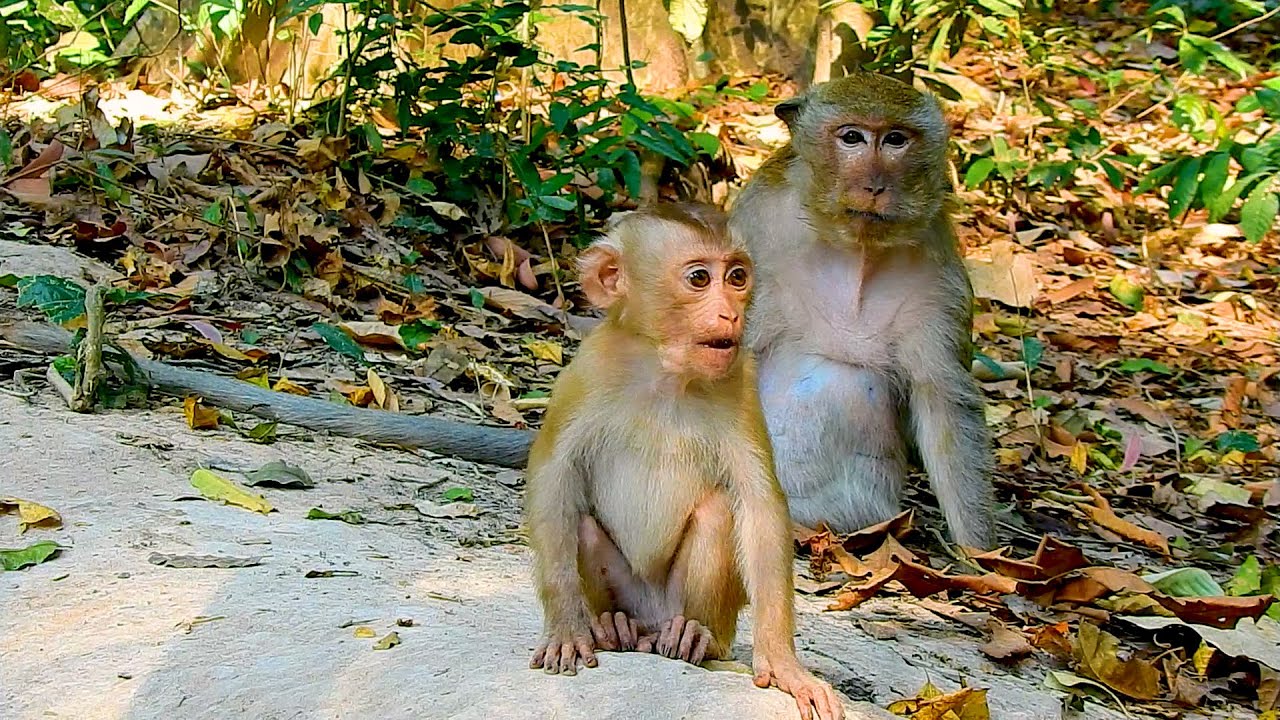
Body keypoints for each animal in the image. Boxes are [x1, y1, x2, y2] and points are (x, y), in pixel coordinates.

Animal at [524, 204, 843, 720]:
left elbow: (760, 507)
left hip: (687, 607)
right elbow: (553, 478)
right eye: (698, 278)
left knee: (718, 514)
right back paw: (615, 628)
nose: (731, 312)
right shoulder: (585, 373)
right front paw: (568, 627)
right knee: (583, 528)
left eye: (737, 277)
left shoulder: (741, 384)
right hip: (630, 593)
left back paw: (694, 638)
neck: (666, 372)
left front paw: (782, 662)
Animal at [726, 72, 996, 550]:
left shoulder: (938, 271)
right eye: (852, 138)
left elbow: (942, 397)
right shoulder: (754, 223)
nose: (874, 186)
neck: (855, 247)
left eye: (895, 140)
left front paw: (980, 555)